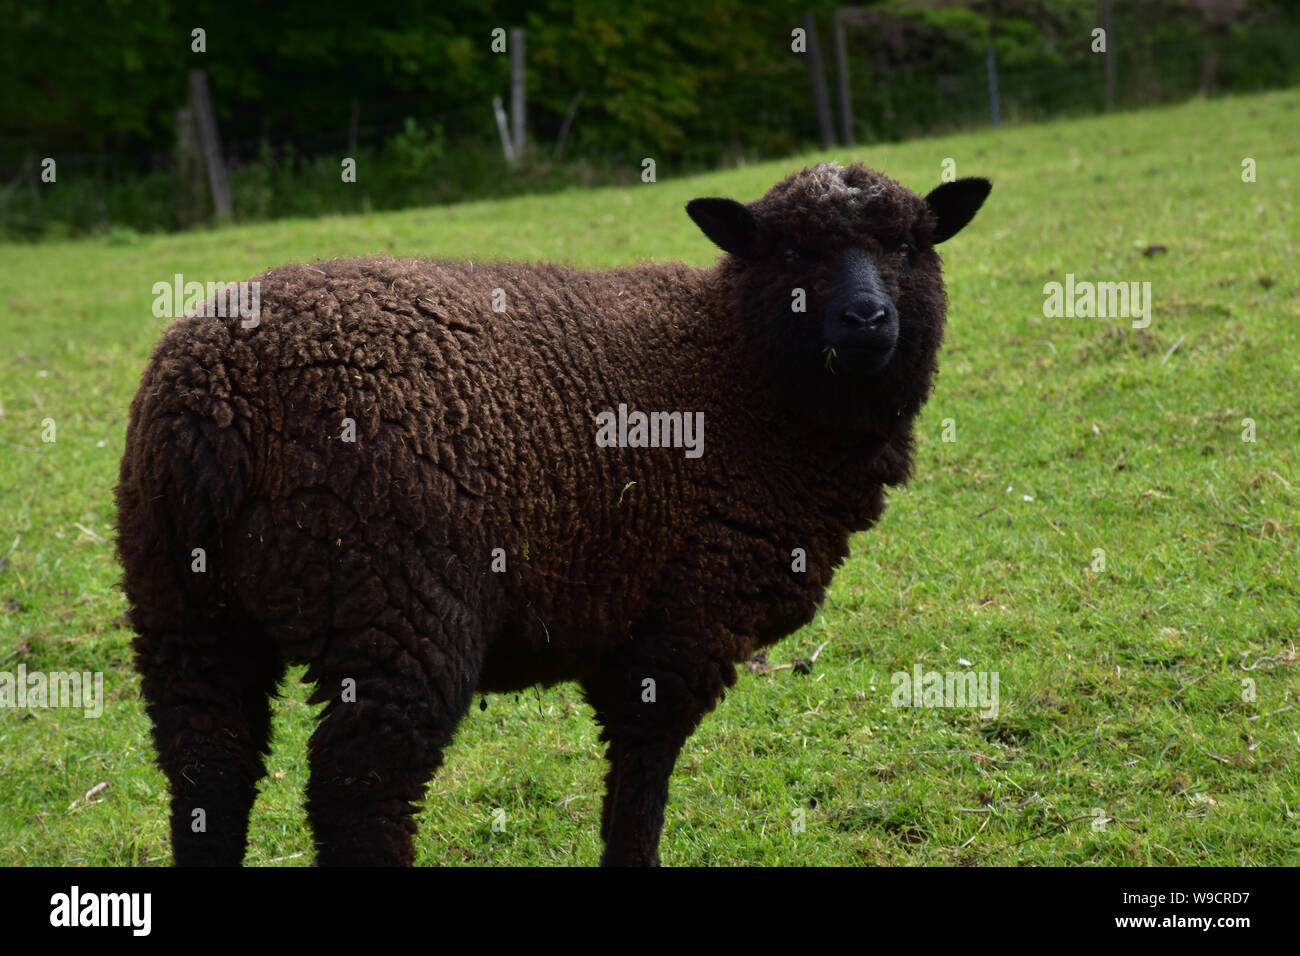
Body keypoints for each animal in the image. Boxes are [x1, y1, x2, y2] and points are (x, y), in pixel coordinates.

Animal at [116, 161, 990, 866]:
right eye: (789, 253)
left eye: (908, 245)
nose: (867, 320)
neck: (738, 363)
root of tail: (216, 398)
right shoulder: (683, 618)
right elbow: (642, 780)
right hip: (391, 612)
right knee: (357, 794)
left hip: (181, 609)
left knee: (208, 772)